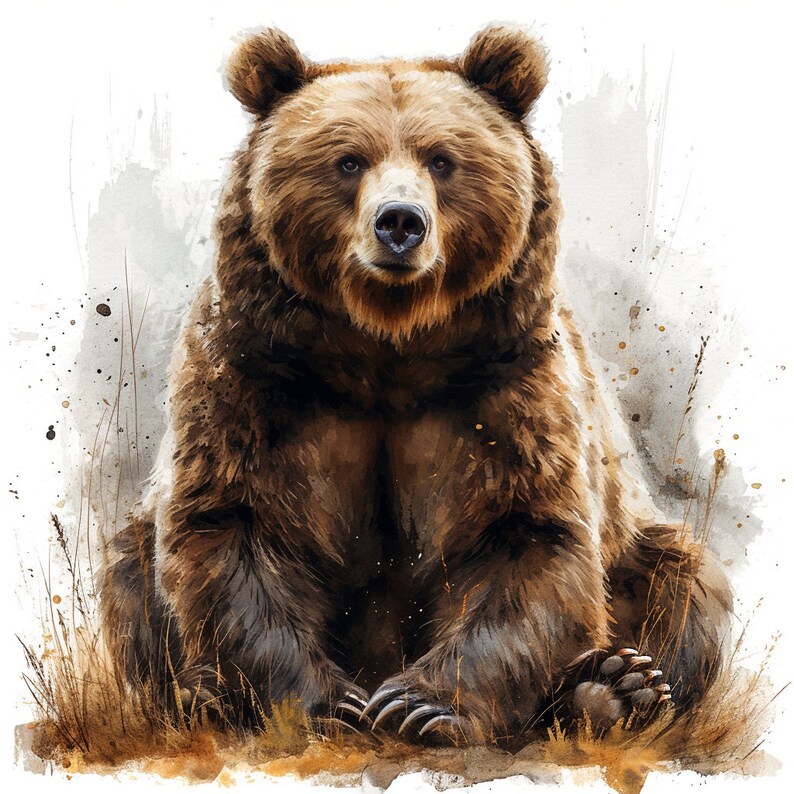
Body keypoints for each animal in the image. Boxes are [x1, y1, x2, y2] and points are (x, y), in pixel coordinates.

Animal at [100, 25, 732, 743]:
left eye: (442, 160)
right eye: (348, 161)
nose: (400, 222)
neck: (389, 346)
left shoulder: (506, 387)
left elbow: (527, 536)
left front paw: (419, 705)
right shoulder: (255, 377)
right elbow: (232, 526)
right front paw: (333, 704)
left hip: (640, 547)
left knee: (683, 587)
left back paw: (615, 688)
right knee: (129, 573)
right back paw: (199, 696)